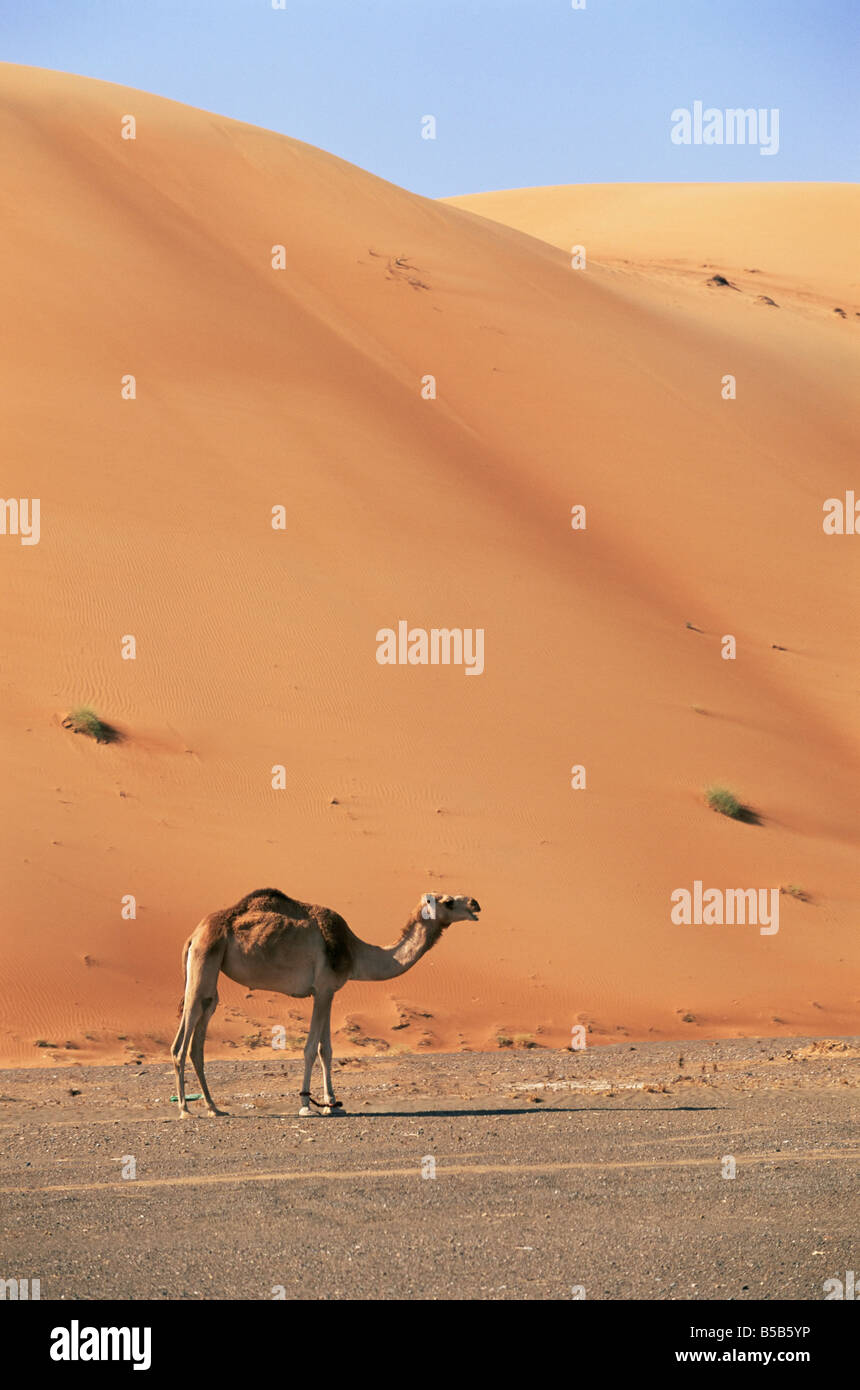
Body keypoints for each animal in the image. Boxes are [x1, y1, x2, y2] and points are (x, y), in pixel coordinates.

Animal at [171, 887, 480, 1117]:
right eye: (449, 901)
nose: (475, 903)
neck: (353, 951)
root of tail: (194, 934)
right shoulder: (321, 990)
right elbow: (310, 1049)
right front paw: (306, 1105)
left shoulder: (330, 991)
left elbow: (326, 1050)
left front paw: (333, 1103)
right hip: (204, 959)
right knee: (183, 1038)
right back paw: (186, 1109)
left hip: (210, 971)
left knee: (200, 1031)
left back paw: (213, 1108)